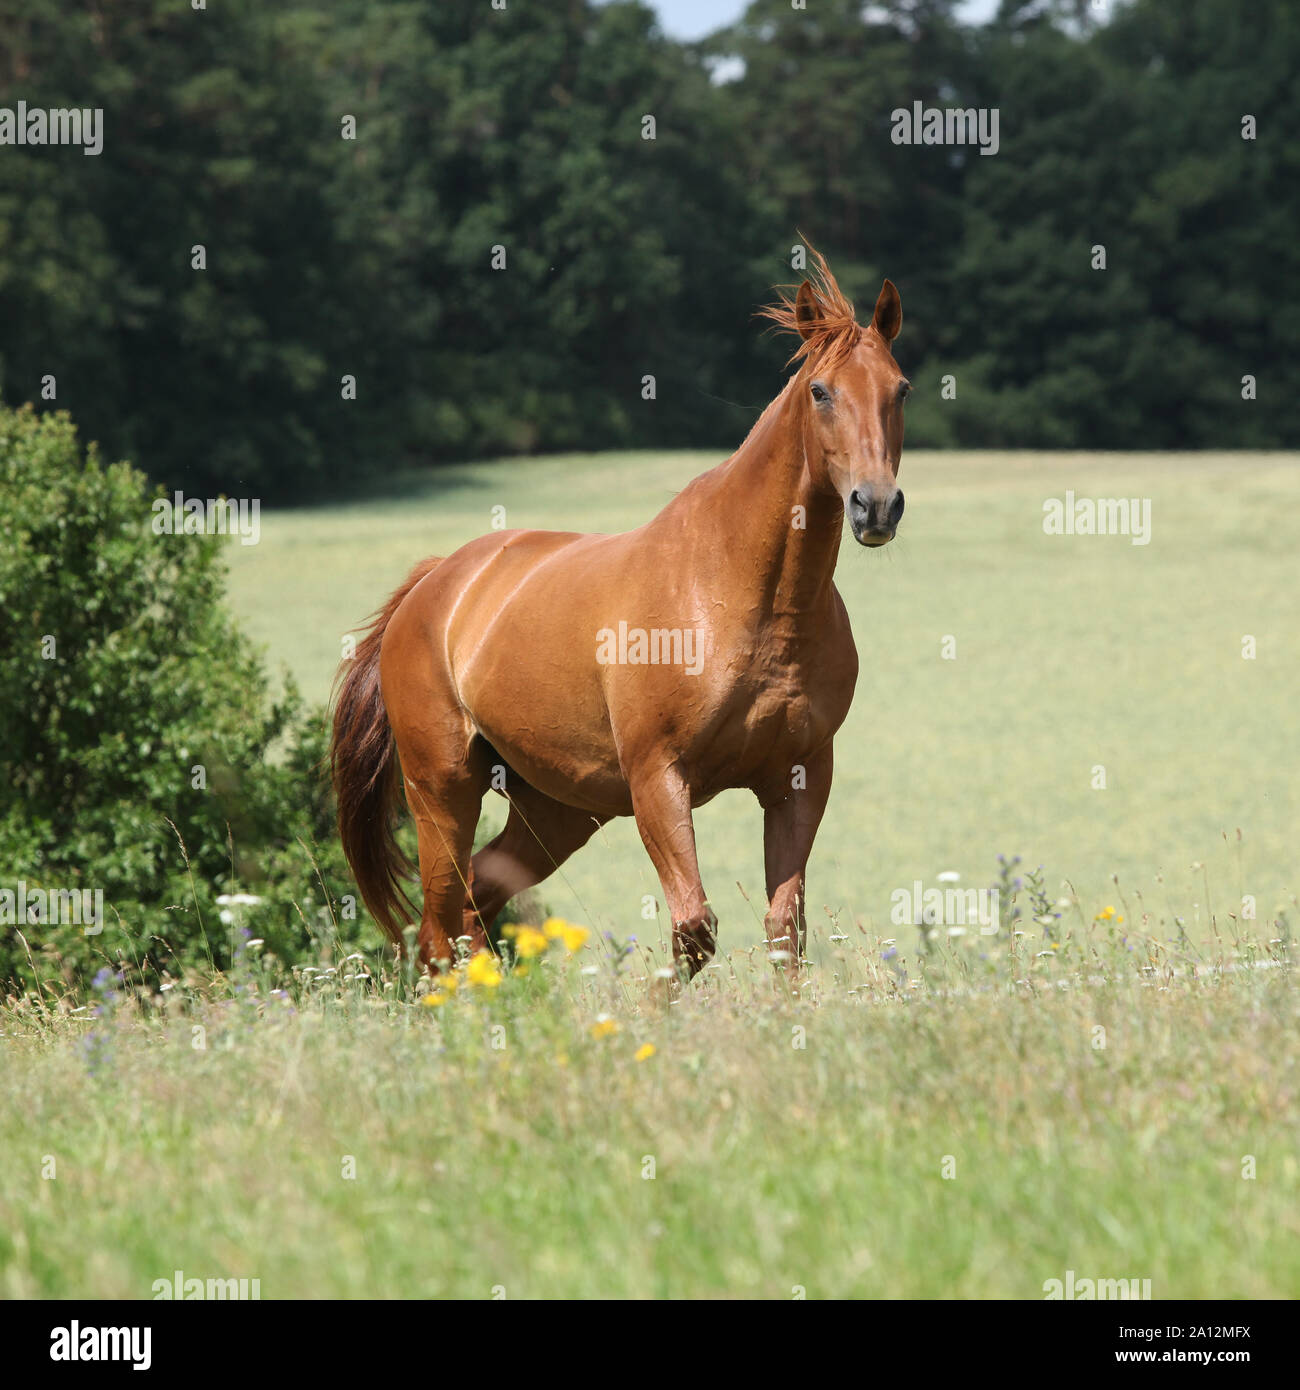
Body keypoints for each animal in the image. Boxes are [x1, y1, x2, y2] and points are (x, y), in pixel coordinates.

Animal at [330, 250, 909, 982]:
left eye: (901, 389)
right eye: (821, 392)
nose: (876, 506)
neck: (743, 596)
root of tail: (433, 585)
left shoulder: (798, 778)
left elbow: (784, 932)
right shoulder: (658, 779)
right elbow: (694, 930)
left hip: (555, 813)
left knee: (474, 908)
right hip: (442, 791)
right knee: (439, 934)